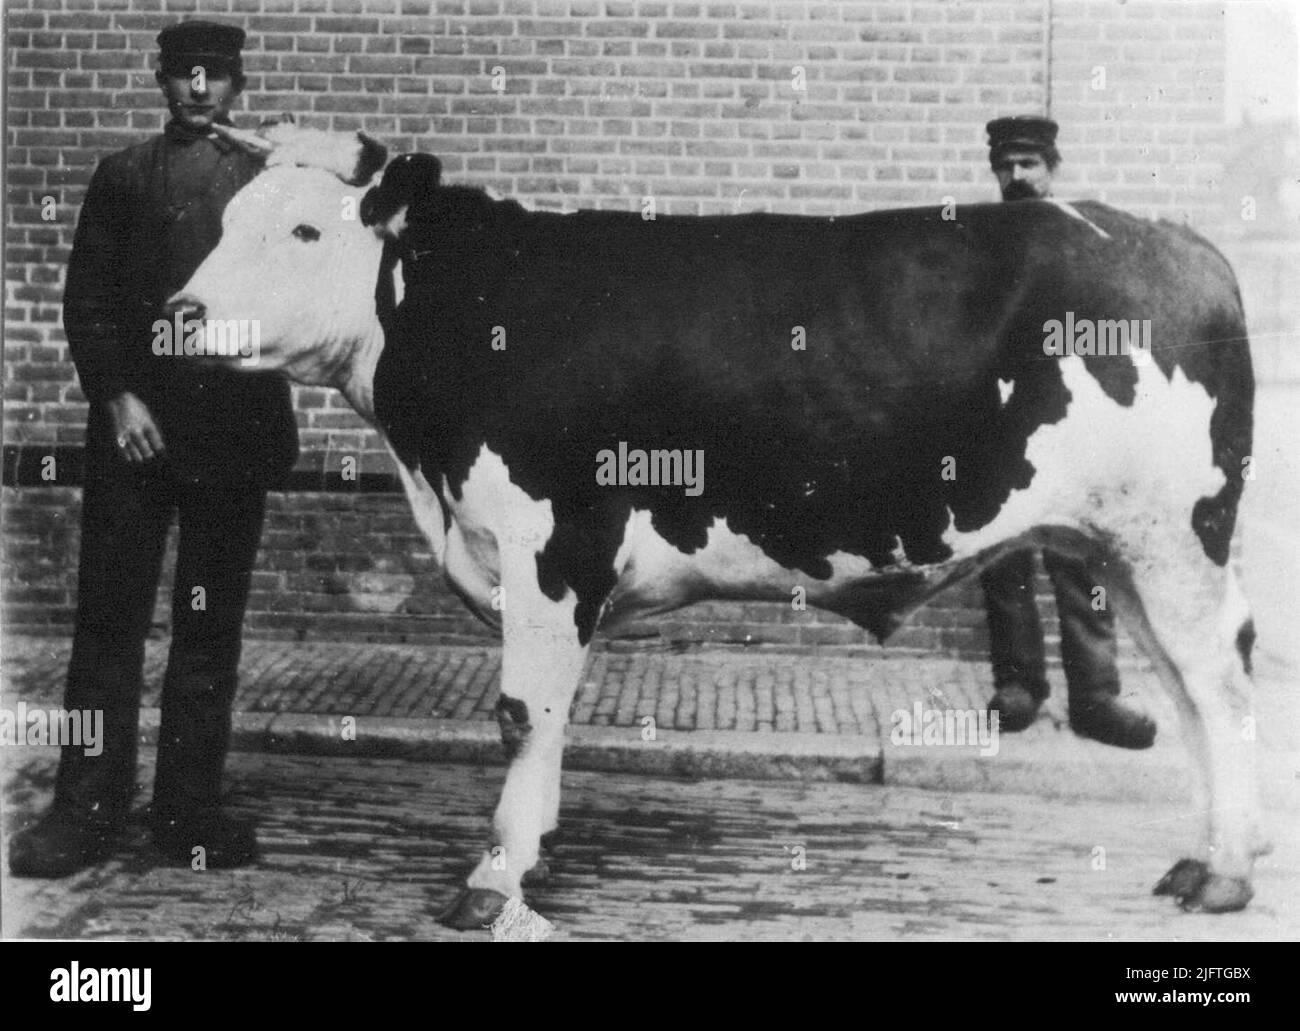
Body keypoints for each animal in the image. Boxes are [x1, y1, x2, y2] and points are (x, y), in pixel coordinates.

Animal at [171, 122, 1264, 928]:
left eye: (306, 231)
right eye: (223, 222)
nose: (178, 313)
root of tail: (1178, 241)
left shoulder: (549, 544)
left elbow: (522, 711)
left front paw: (494, 875)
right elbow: (550, 715)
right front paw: (536, 846)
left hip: (1175, 536)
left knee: (1219, 688)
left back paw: (1225, 870)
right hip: (1126, 546)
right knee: (1189, 691)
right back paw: (1204, 856)